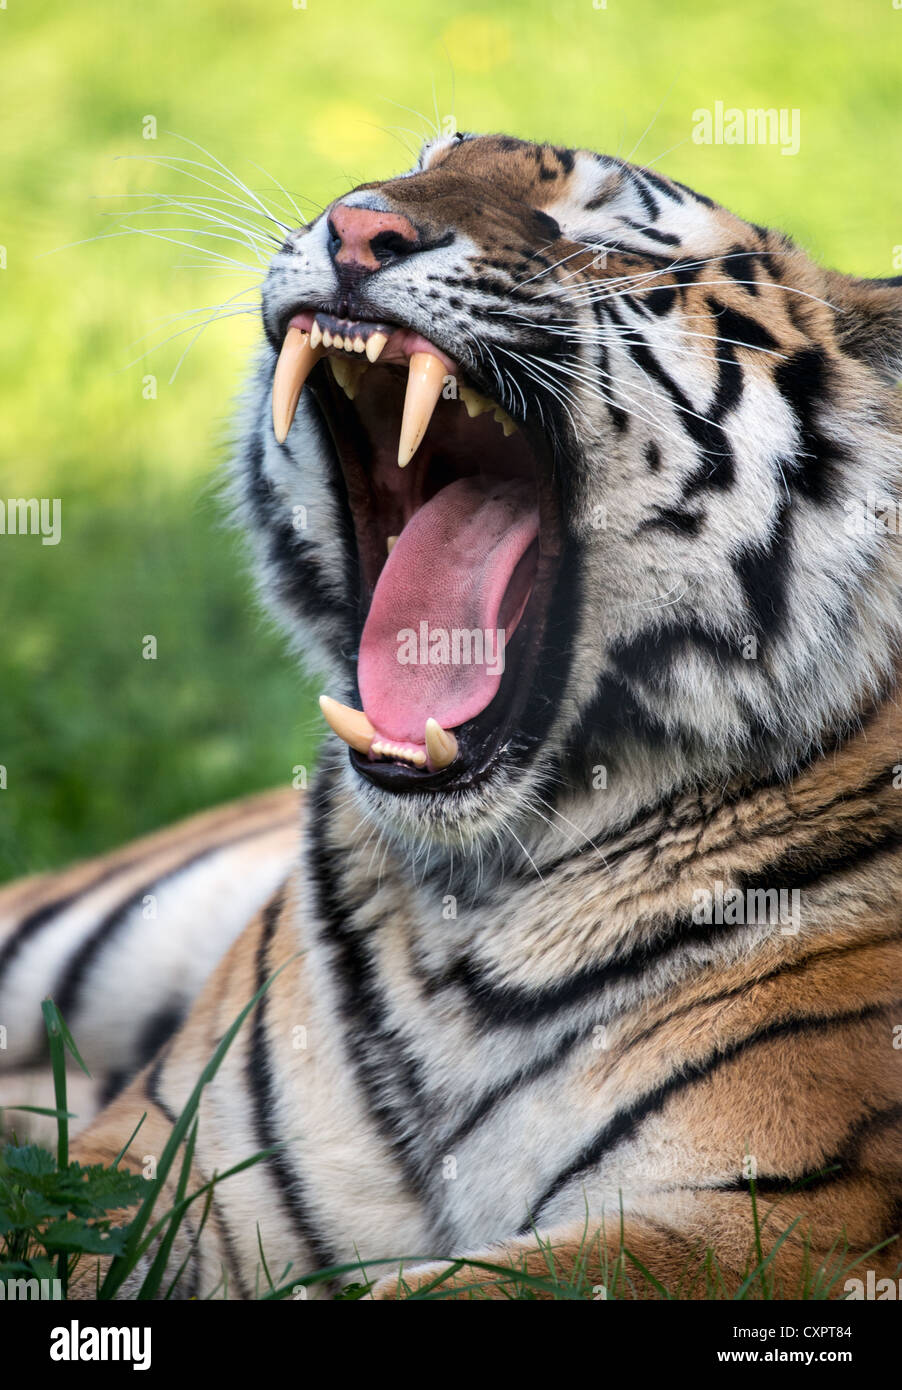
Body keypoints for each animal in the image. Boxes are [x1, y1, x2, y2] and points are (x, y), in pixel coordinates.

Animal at [2, 130, 902, 1300]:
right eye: (425, 159)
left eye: (604, 230)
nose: (356, 226)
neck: (467, 910)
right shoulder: (170, 1151)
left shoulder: (776, 1221)